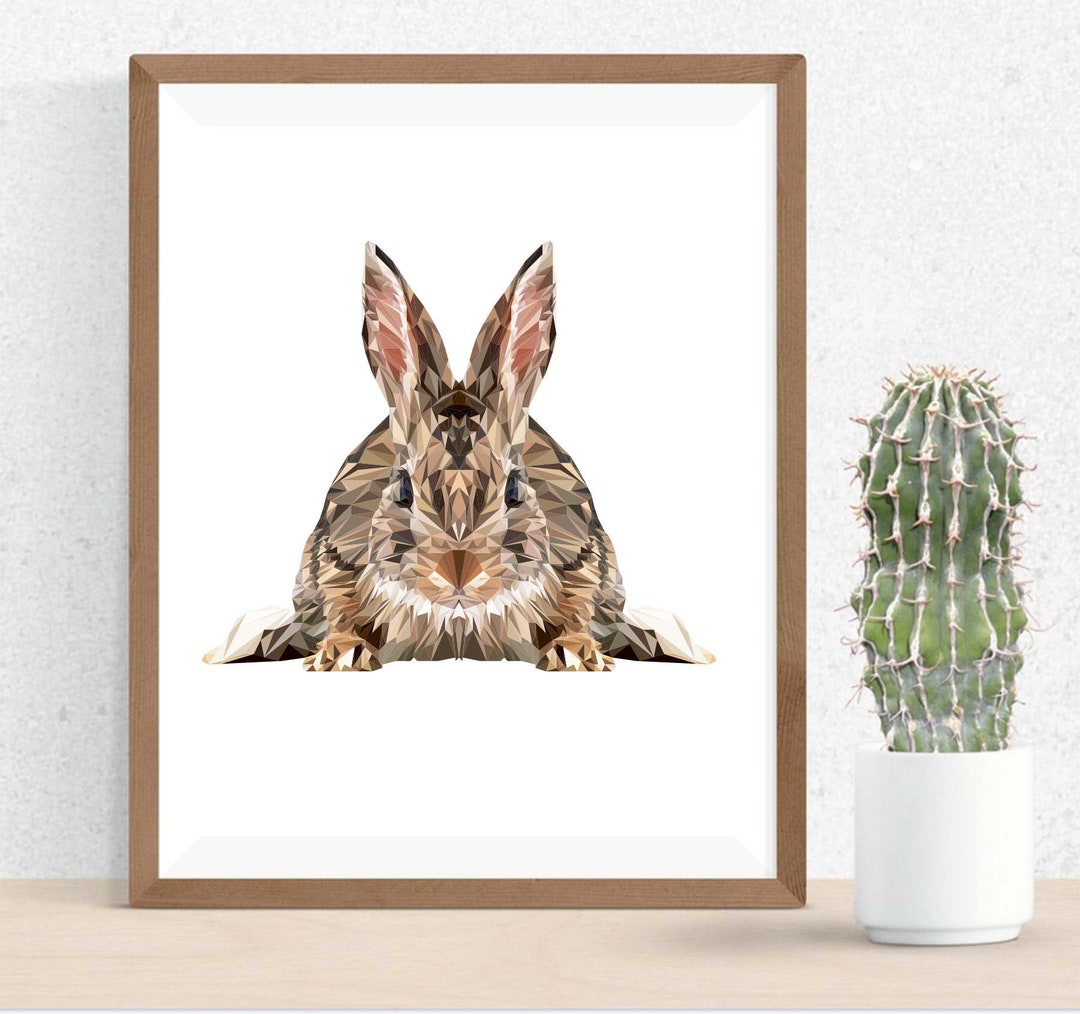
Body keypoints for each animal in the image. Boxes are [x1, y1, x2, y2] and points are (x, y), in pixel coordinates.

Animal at [204, 243, 714, 671]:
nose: (459, 572)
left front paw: (574, 653)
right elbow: (339, 609)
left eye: (514, 488)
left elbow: (578, 609)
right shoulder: (334, 560)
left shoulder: (584, 560)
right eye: (402, 488)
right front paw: (344, 653)